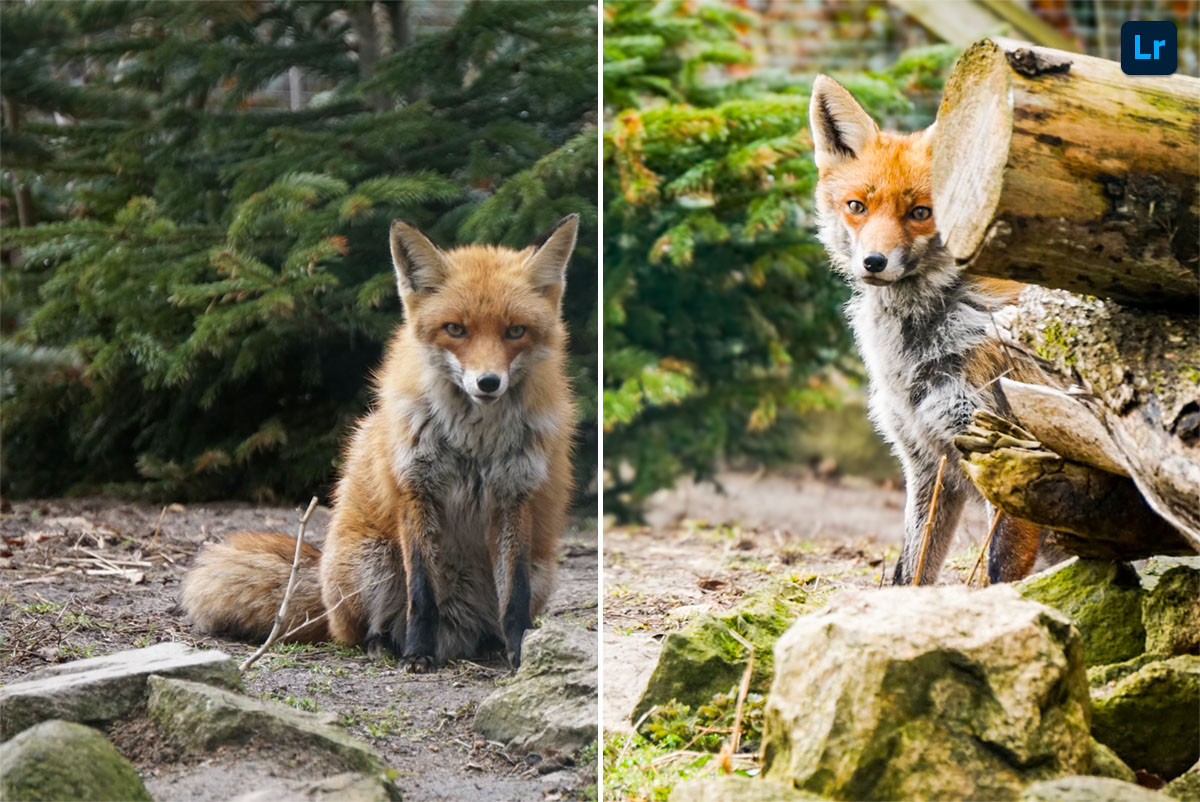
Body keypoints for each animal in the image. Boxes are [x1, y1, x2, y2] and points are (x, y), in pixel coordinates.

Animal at [182, 214, 579, 670]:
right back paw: (385, 645)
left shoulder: (517, 496)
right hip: (372, 561)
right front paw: (418, 655)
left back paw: (490, 645)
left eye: (515, 331)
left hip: (543, 570)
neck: (473, 444)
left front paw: (521, 652)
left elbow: (514, 597)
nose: (488, 382)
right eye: (455, 329)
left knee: (494, 617)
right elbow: (421, 593)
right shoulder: (415, 490)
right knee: (359, 631)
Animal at [808, 75, 1056, 586]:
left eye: (921, 213)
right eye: (857, 206)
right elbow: (910, 574)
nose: (874, 262)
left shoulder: (1018, 461)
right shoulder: (927, 463)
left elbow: (997, 578)